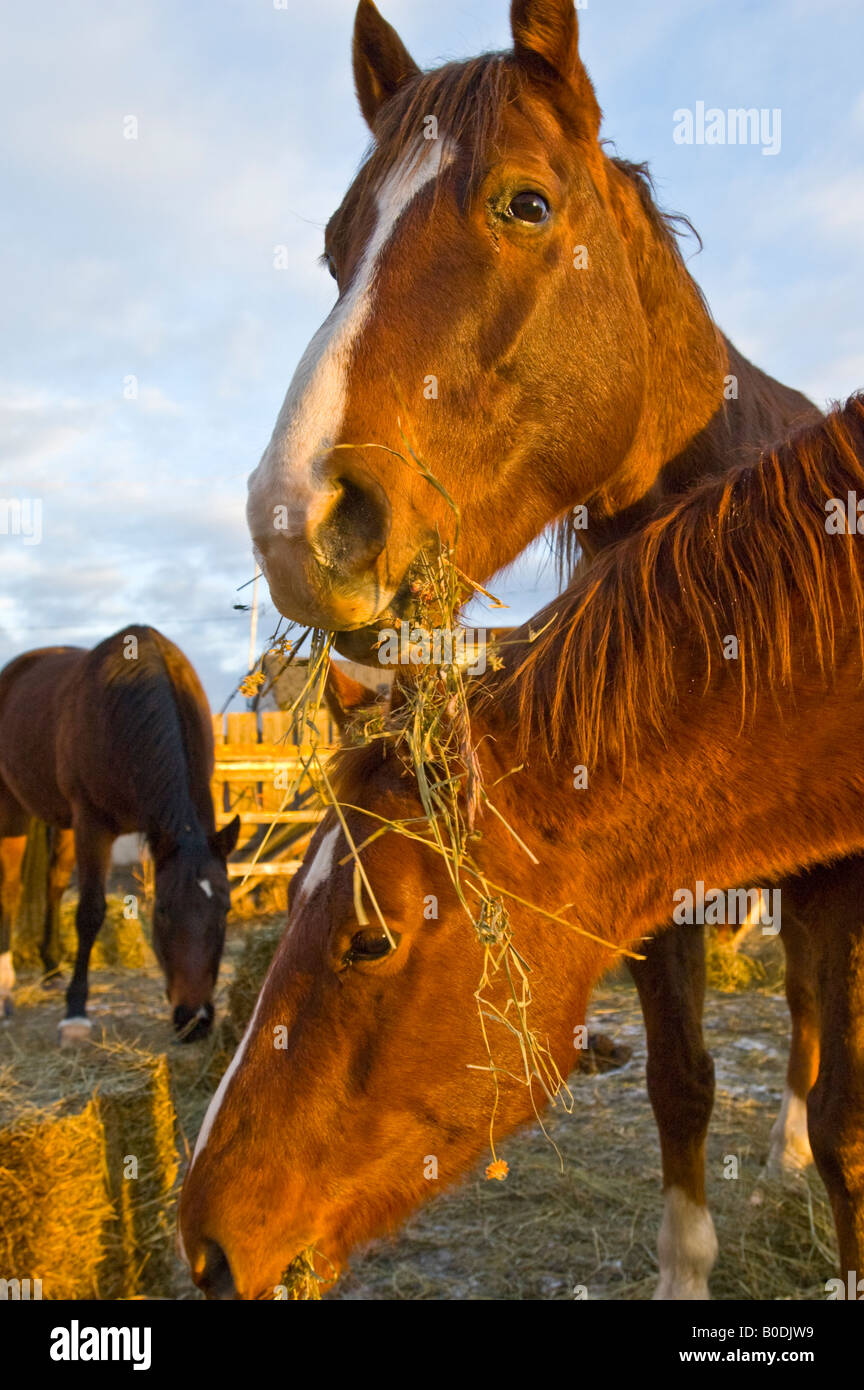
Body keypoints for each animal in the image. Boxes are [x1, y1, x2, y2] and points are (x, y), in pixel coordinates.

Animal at [0, 626, 240, 1042]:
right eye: (162, 911)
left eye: (225, 910)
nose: (194, 1020)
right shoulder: (91, 826)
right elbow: (90, 912)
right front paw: (75, 1012)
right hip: (11, 807)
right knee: (10, 889)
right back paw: (6, 991)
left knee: (53, 885)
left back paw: (51, 967)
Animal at [243, 0, 834, 1295]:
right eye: (334, 247)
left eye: (525, 202)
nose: (295, 519)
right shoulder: (651, 862)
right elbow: (680, 1081)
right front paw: (686, 1267)